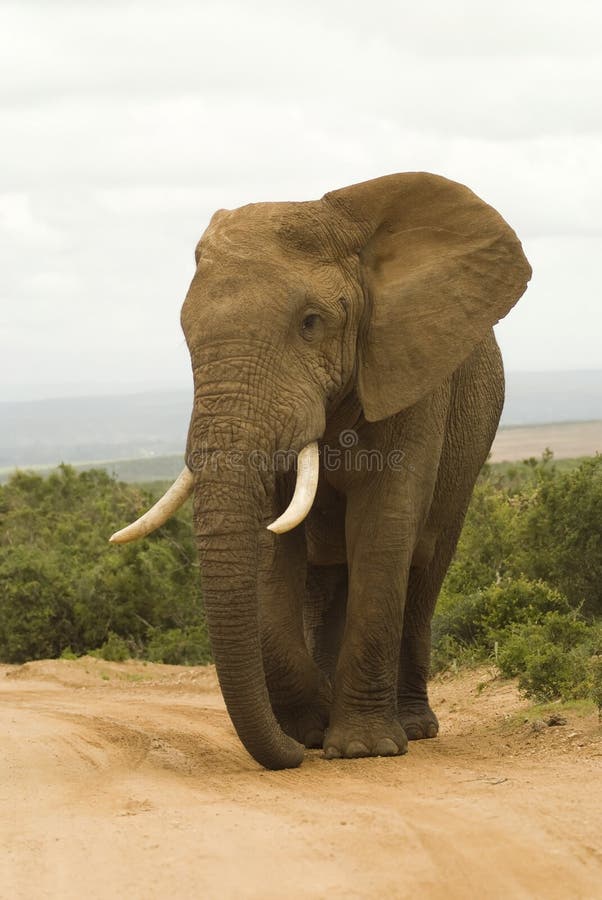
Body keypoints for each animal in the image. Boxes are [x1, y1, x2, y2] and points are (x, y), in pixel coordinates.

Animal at [110, 172, 531, 770]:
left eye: (312, 324)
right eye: (186, 333)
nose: (288, 752)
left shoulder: (410, 372)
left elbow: (384, 526)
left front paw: (362, 748)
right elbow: (272, 541)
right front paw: (309, 731)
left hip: (469, 449)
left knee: (425, 566)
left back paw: (414, 727)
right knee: (323, 580)